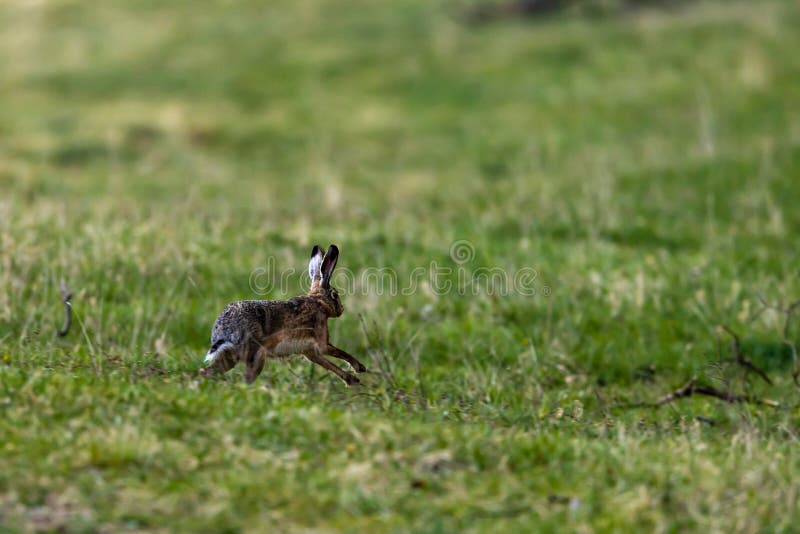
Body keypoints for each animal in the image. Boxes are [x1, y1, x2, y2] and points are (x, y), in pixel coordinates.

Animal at [201, 244, 367, 385]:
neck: (319, 302)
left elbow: (327, 363)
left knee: (207, 371)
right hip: (256, 352)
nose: (341, 309)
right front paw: (358, 371)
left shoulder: (309, 351)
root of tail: (225, 330)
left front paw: (352, 378)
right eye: (335, 295)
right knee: (246, 377)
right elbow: (338, 353)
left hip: (231, 355)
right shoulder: (321, 343)